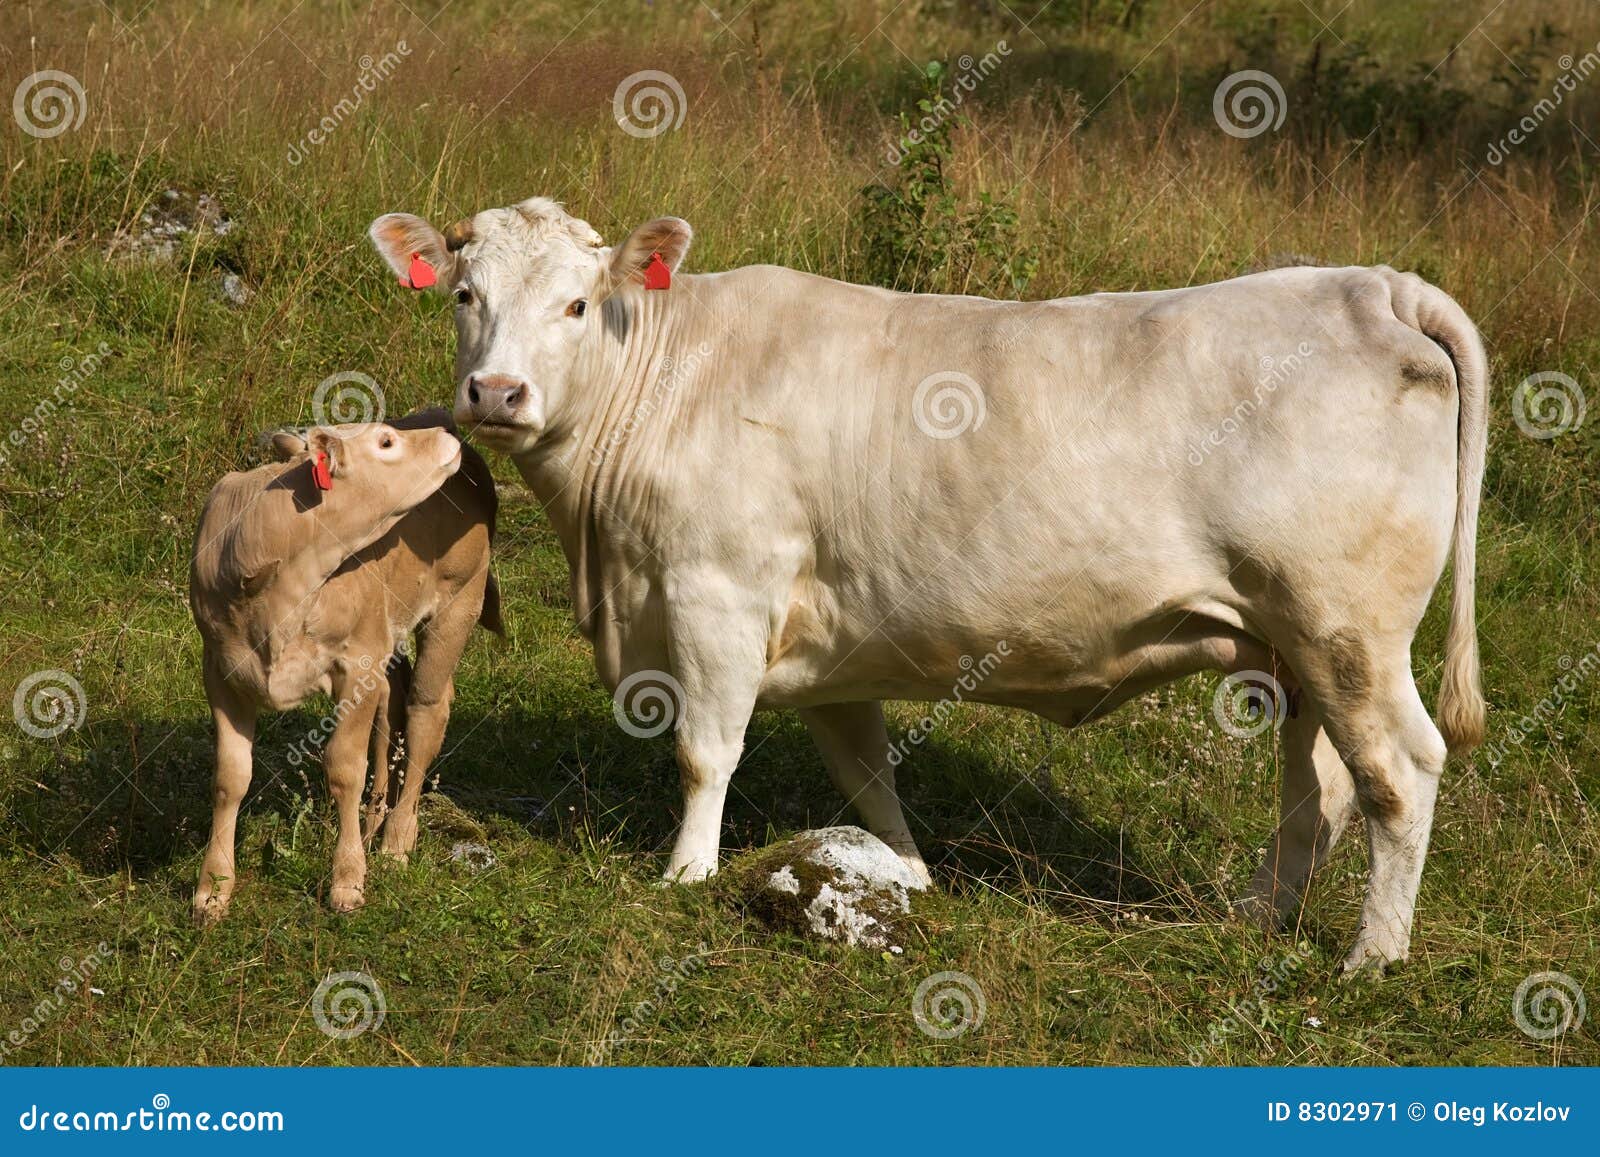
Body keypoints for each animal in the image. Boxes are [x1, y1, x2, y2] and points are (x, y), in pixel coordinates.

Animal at [189, 409, 499, 922]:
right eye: (386, 441)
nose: (447, 433)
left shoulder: (356, 664)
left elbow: (344, 768)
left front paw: (348, 879)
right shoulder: (221, 670)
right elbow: (229, 777)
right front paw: (213, 888)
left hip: (459, 602)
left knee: (426, 711)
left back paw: (396, 839)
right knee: (392, 704)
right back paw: (375, 821)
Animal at [369, 197, 1486, 970]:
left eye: (575, 303)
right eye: (465, 296)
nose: (497, 392)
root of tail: (1370, 283)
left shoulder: (715, 593)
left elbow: (704, 751)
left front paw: (685, 873)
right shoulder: (825, 638)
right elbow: (867, 772)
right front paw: (907, 873)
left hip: (1345, 627)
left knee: (1399, 772)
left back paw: (1370, 957)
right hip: (1293, 645)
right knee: (1318, 787)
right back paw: (1257, 916)